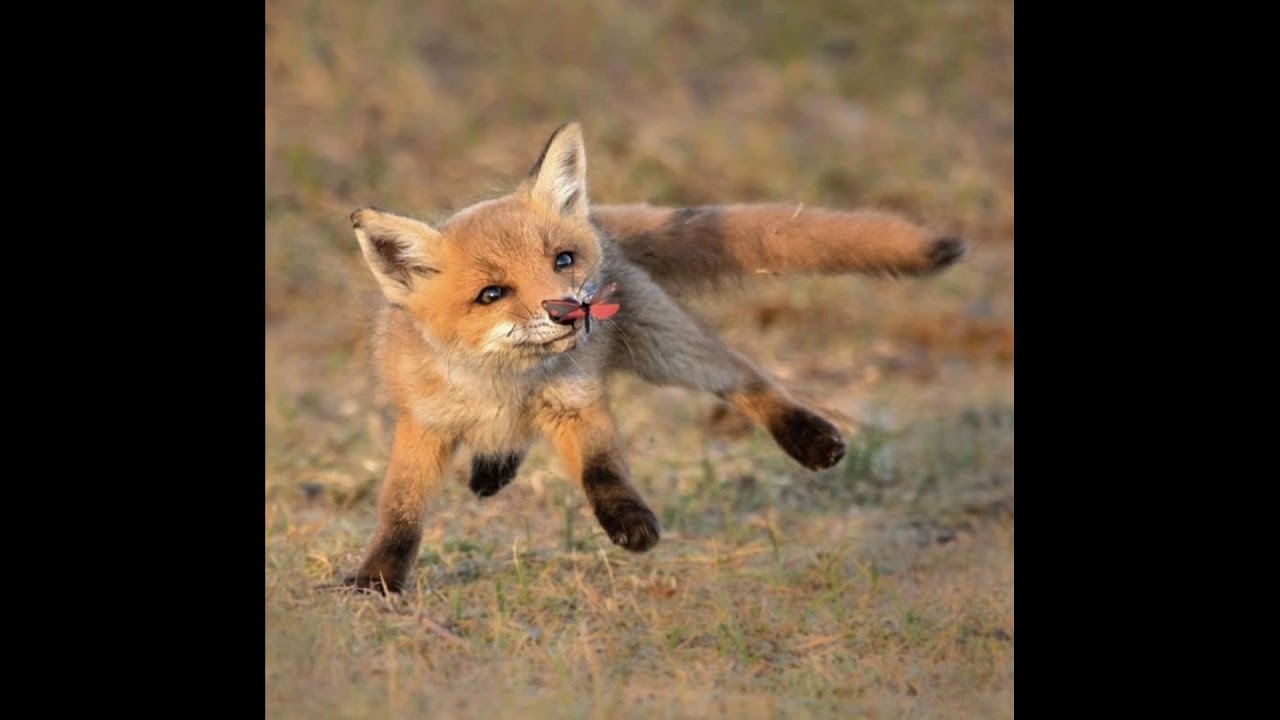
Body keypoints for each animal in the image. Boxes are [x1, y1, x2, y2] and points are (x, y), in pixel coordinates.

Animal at [345, 121, 964, 592]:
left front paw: (630, 521)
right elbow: (400, 510)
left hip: (665, 348)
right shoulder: (424, 426)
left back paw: (808, 437)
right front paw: (376, 578)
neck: (508, 386)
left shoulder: (579, 403)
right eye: (491, 294)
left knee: (743, 374)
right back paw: (492, 471)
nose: (570, 310)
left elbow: (603, 470)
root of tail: (601, 220)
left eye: (562, 260)